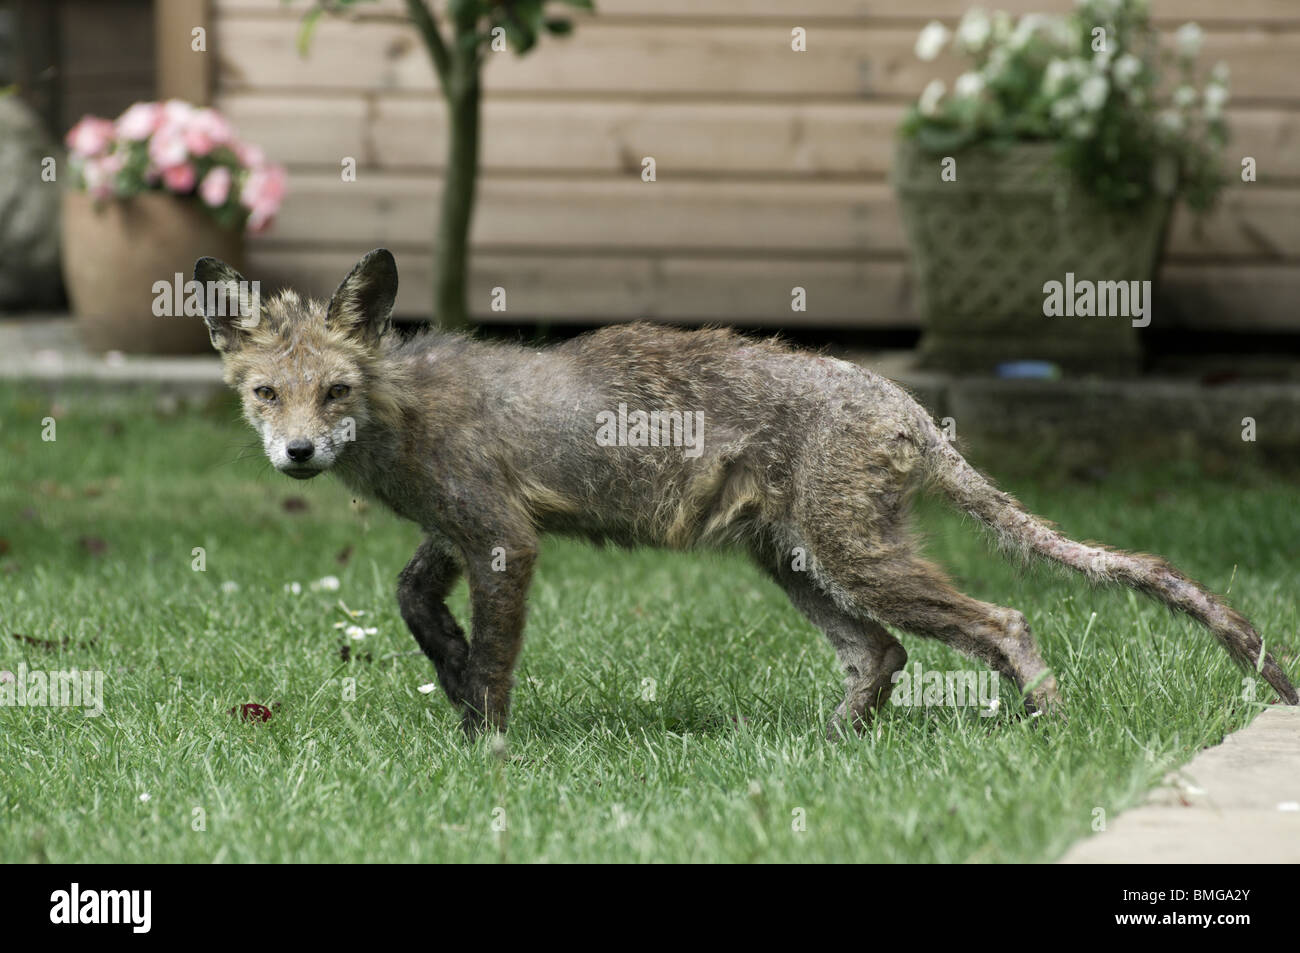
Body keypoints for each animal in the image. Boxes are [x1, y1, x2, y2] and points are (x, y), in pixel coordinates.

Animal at [196, 249, 1298, 736]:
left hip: (853, 557)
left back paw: (1048, 724)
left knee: (1004, 618)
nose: (298, 452)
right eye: (265, 394)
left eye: (335, 390)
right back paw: (829, 746)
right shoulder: (462, 530)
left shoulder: (506, 535)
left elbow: (498, 662)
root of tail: (897, 396)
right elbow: (414, 601)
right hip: (797, 562)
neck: (406, 416)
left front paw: (487, 744)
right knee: (882, 653)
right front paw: (454, 678)